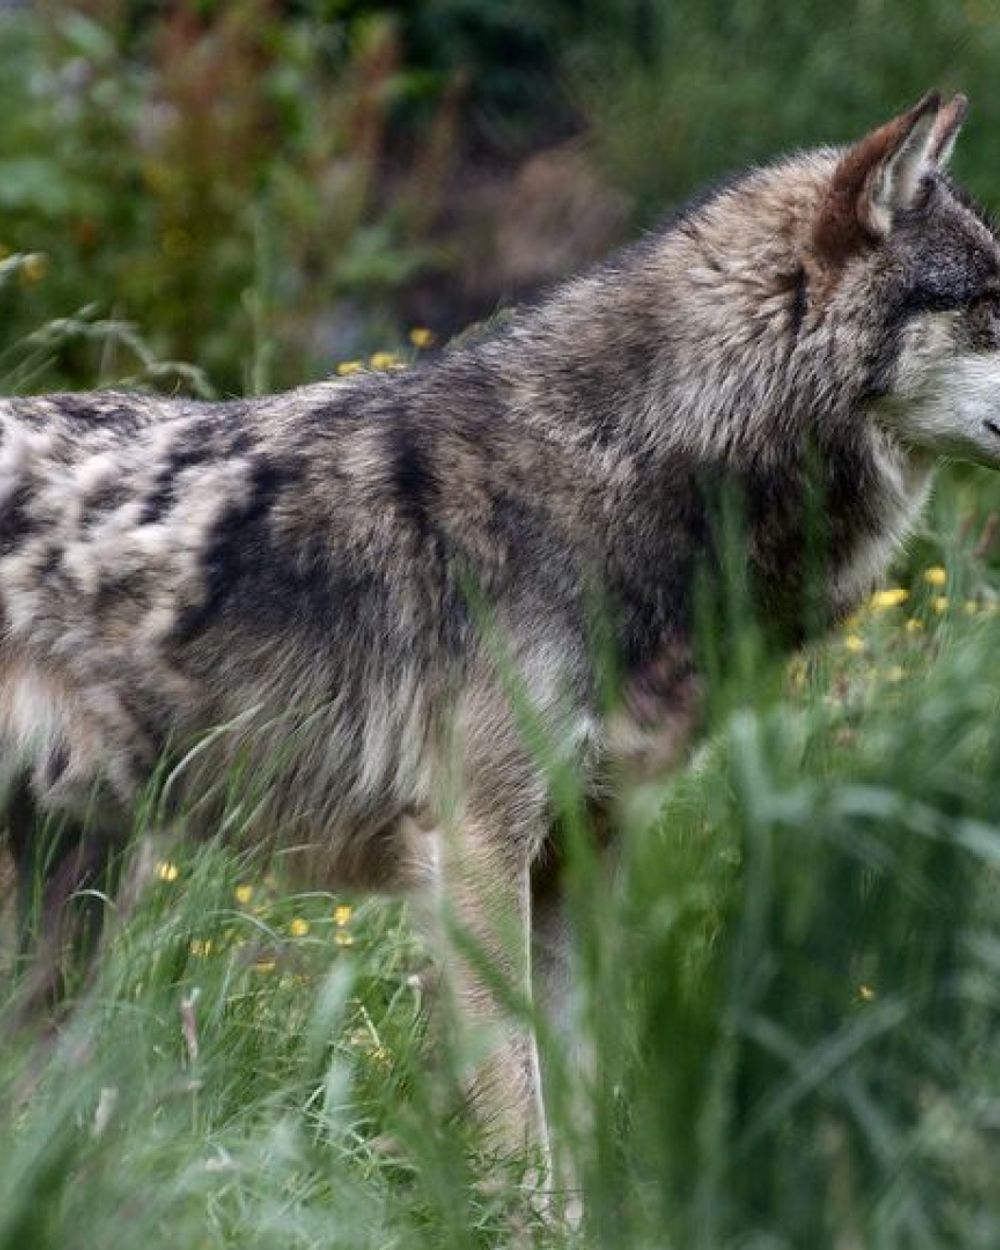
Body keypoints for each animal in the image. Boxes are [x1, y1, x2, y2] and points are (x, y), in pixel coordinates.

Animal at [2, 90, 999, 1177]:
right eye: (994, 304)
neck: (635, 464)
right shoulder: (476, 849)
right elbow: (523, 1131)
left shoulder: (584, 853)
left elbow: (580, 1112)